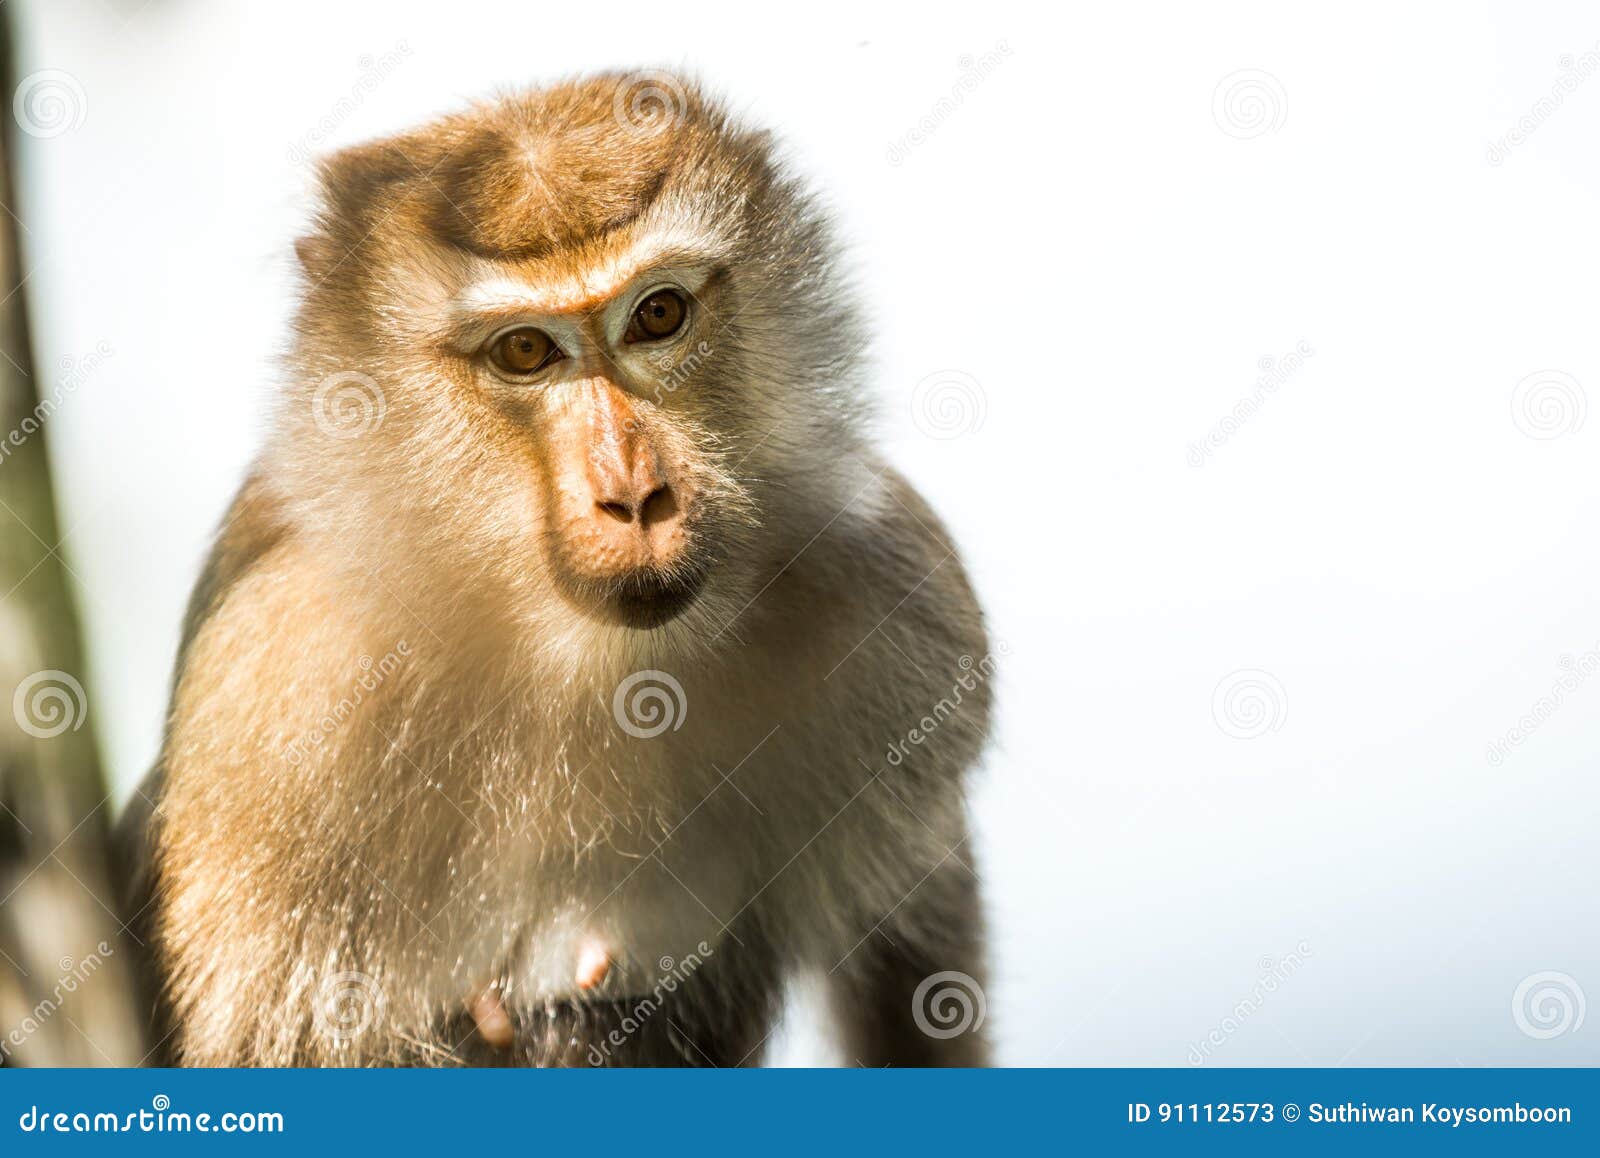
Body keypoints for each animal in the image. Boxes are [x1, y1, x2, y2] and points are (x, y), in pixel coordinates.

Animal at [114, 71, 994, 1067]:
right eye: (527, 351)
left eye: (658, 315)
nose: (633, 494)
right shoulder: (273, 705)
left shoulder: (891, 602)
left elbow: (912, 958)